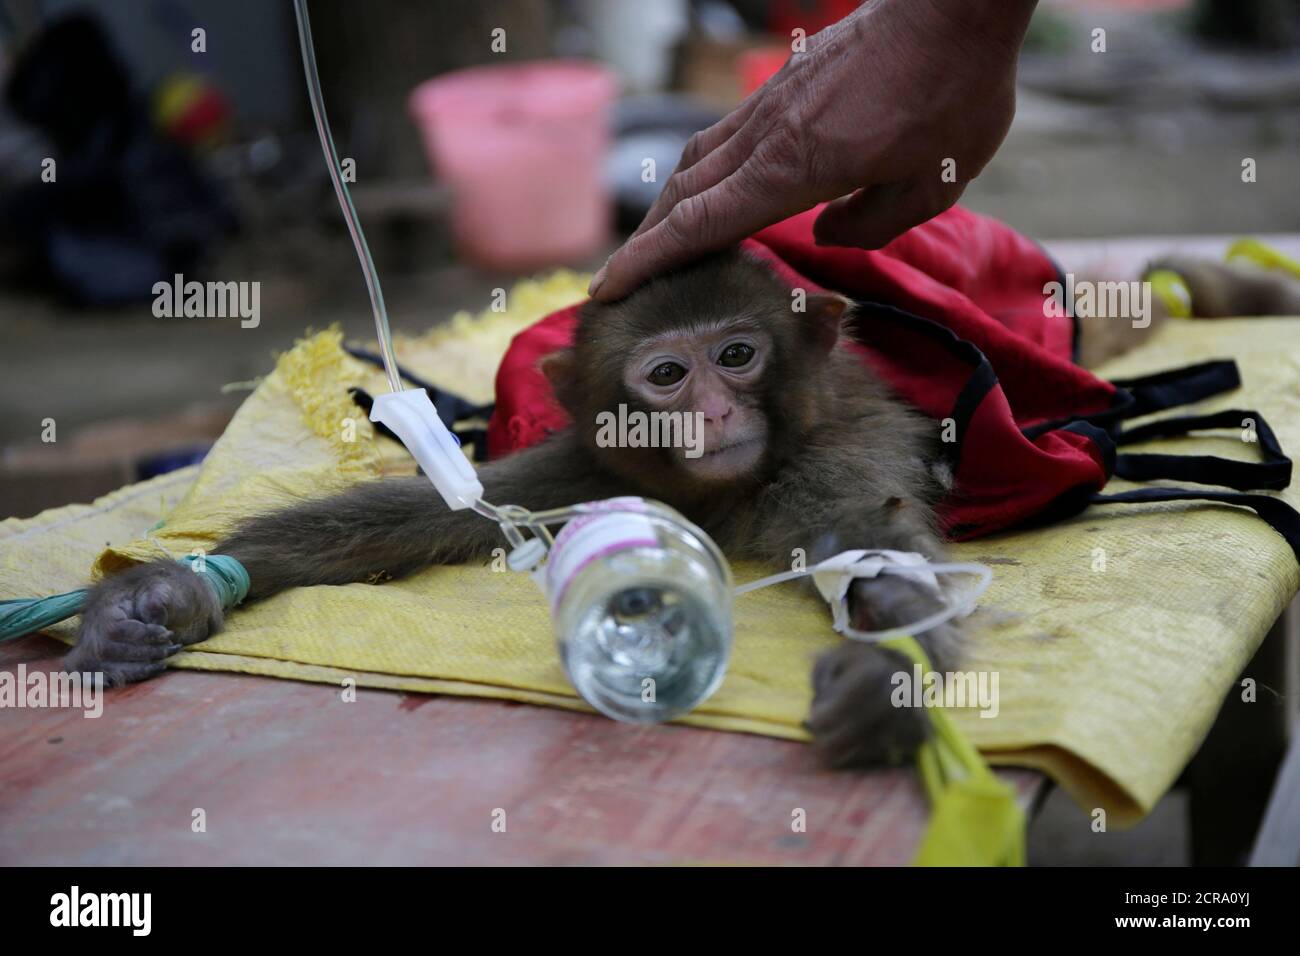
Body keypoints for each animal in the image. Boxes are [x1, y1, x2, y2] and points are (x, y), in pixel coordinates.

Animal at [59, 247, 1300, 769]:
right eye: (666, 374)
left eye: (737, 354)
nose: (708, 405)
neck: (724, 483)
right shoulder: (583, 469)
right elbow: (420, 513)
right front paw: (158, 597)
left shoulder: (838, 446)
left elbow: (878, 541)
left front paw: (885, 676)